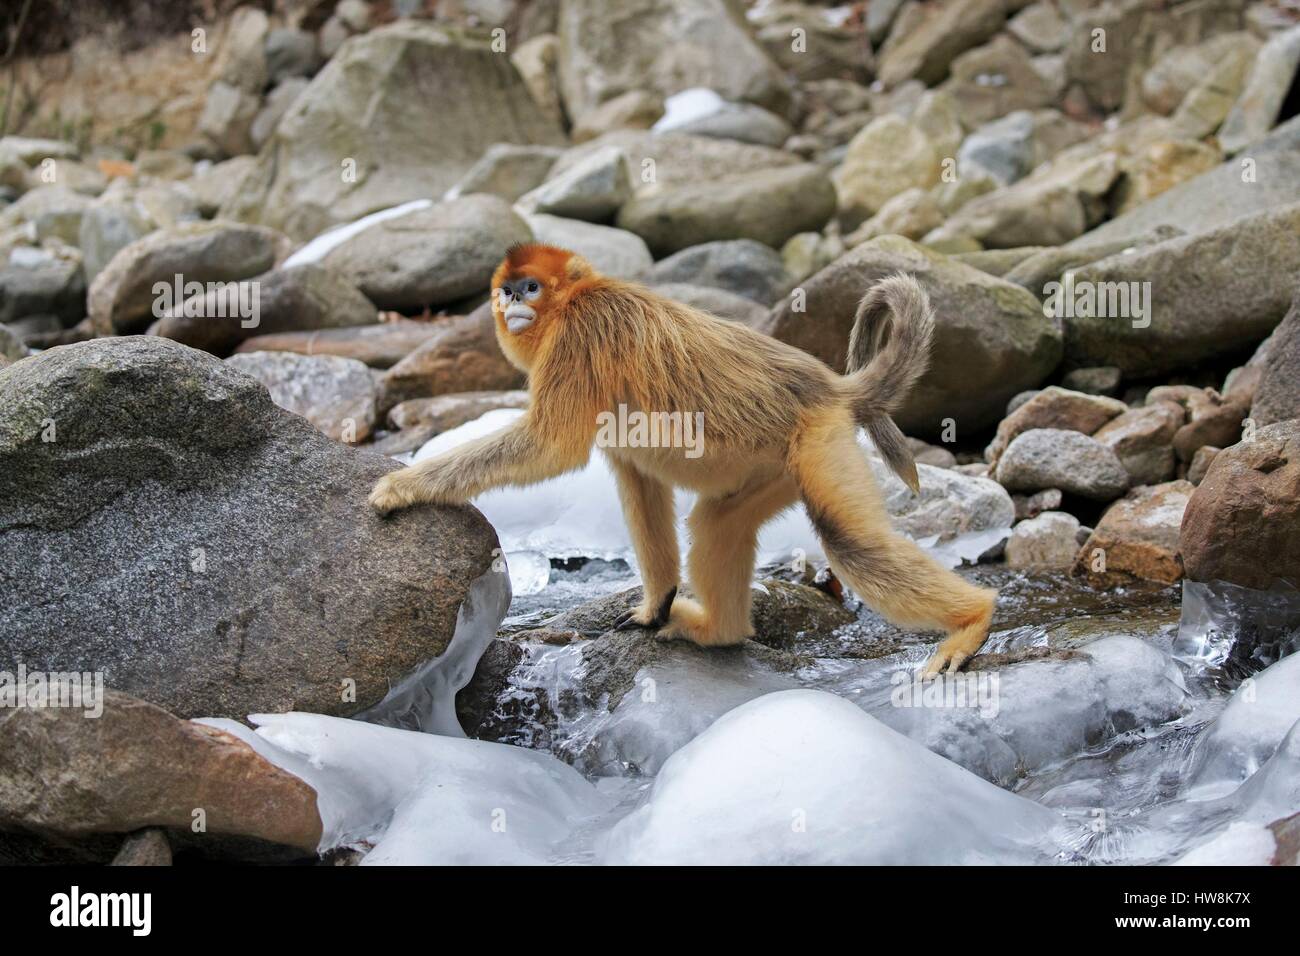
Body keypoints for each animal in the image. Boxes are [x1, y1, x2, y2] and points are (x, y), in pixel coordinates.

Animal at [368, 243, 996, 676]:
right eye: (507, 290)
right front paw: (655, 605)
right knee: (716, 522)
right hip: (779, 464)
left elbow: (551, 447)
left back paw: (975, 620)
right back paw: (719, 632)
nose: (511, 302)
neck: (576, 301)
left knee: (847, 540)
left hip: (818, 438)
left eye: (530, 286)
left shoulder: (578, 340)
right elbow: (639, 479)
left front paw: (405, 484)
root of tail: (832, 389)